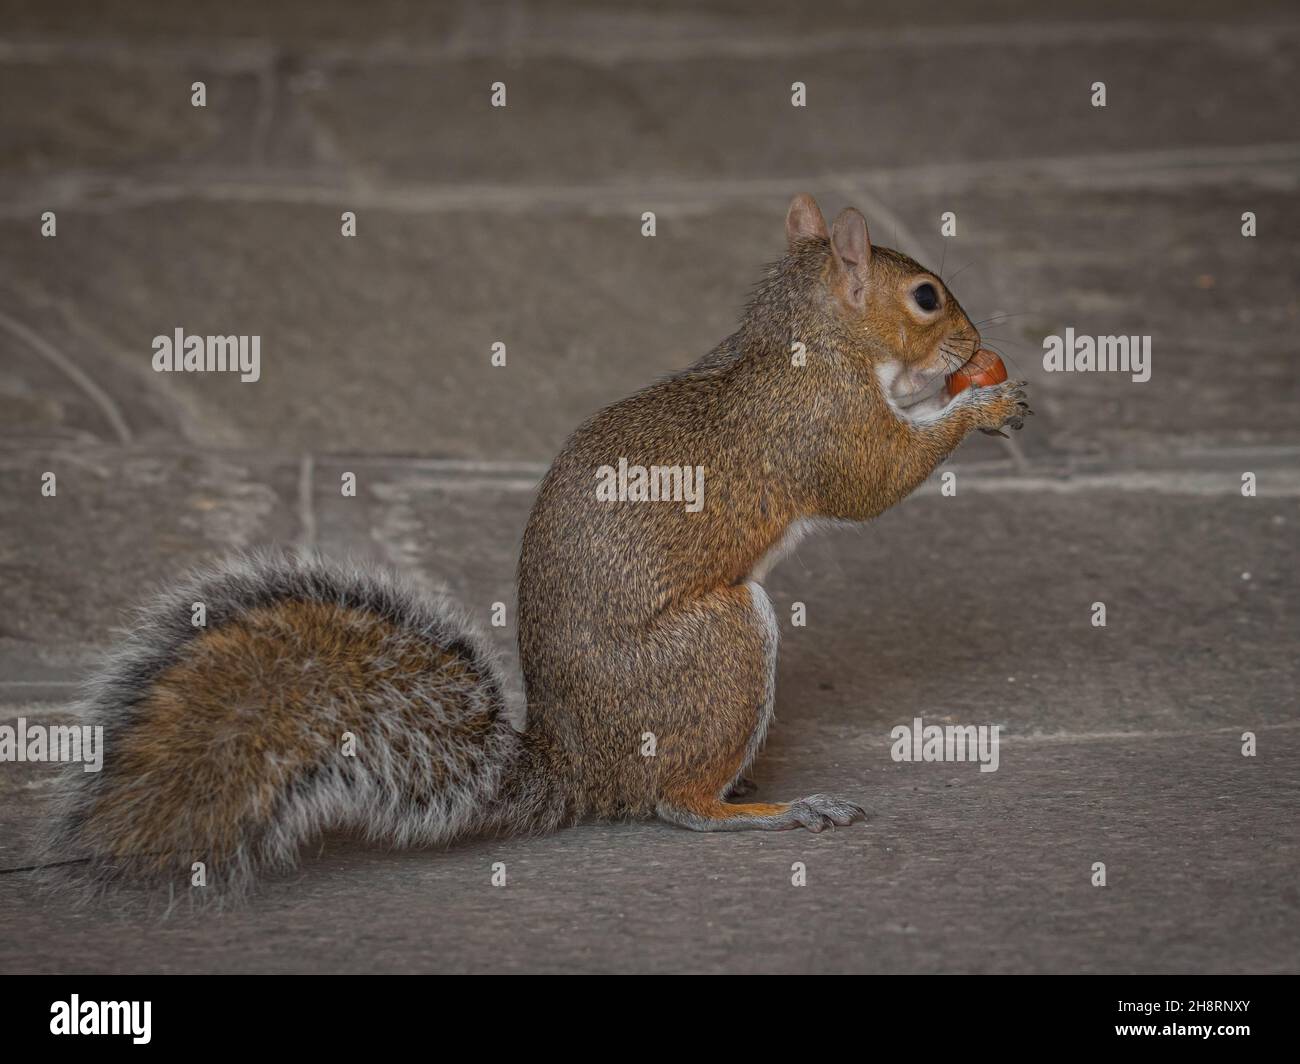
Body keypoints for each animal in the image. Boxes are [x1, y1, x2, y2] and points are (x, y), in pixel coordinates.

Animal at [49, 194, 1029, 898]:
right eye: (927, 296)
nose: (977, 342)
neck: (803, 340)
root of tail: (580, 767)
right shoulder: (822, 430)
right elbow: (876, 480)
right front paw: (980, 403)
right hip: (720, 645)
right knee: (674, 805)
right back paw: (775, 810)